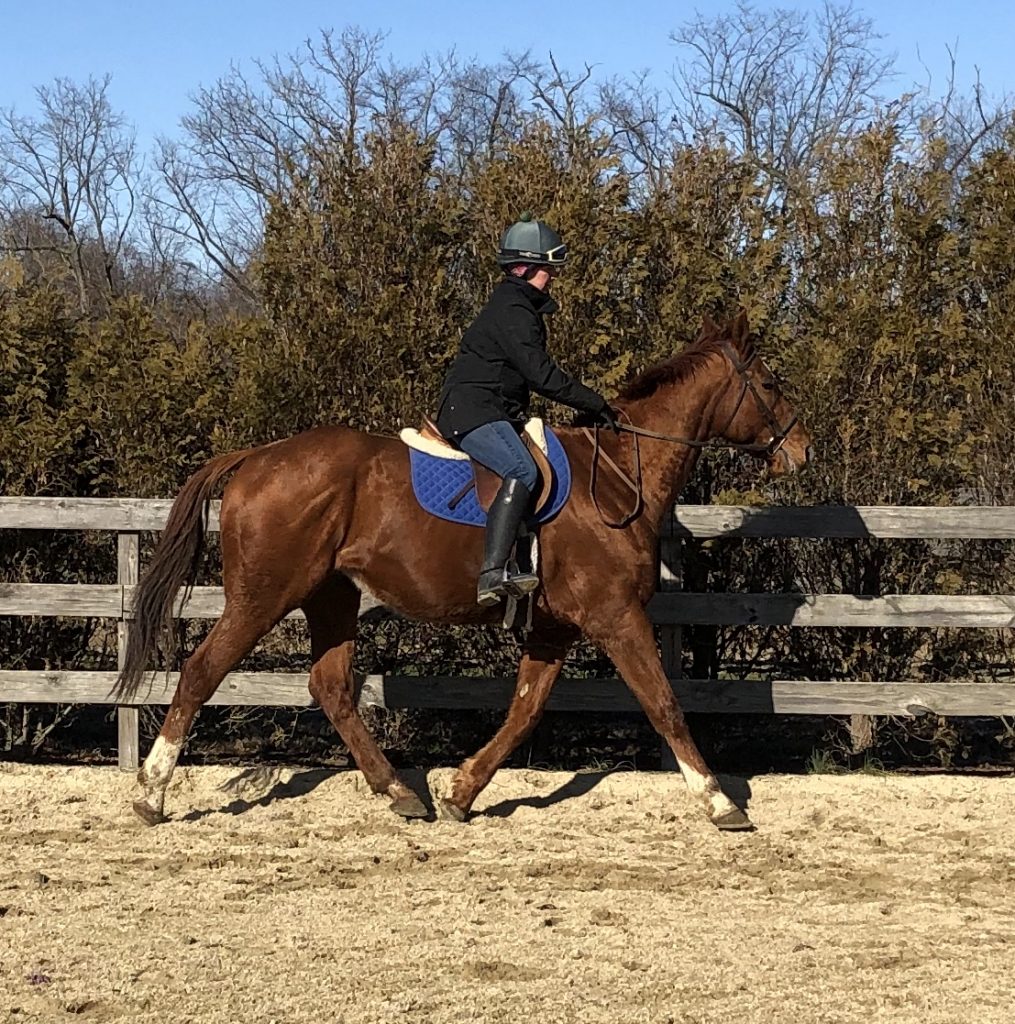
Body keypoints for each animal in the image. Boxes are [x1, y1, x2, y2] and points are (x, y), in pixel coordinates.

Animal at [116, 309, 811, 830]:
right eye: (770, 382)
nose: (801, 451)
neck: (616, 478)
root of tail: (258, 456)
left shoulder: (554, 627)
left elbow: (525, 709)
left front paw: (460, 793)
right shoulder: (614, 616)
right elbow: (663, 703)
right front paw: (720, 803)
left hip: (332, 596)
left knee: (332, 687)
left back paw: (401, 793)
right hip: (263, 596)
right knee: (203, 671)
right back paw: (150, 795)